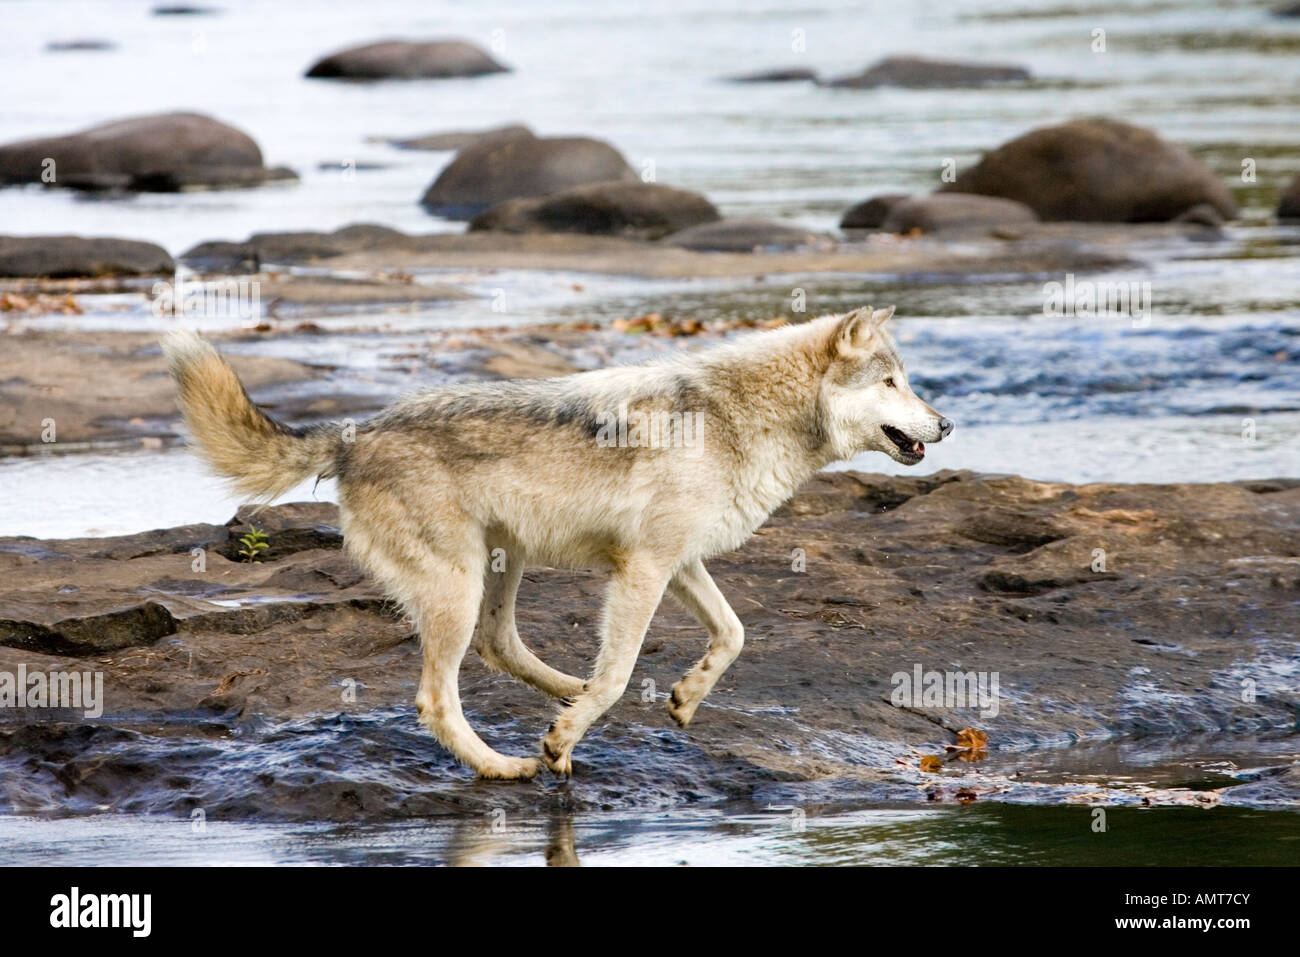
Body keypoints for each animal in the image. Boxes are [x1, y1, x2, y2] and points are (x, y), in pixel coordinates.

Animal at [162, 305, 952, 779]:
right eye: (891, 381)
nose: (945, 424)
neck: (740, 416)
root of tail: (353, 433)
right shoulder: (644, 570)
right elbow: (623, 670)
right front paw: (565, 739)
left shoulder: (676, 562)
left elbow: (733, 634)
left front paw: (684, 699)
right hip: (458, 586)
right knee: (437, 698)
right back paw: (504, 764)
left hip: (501, 565)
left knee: (500, 645)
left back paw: (565, 696)